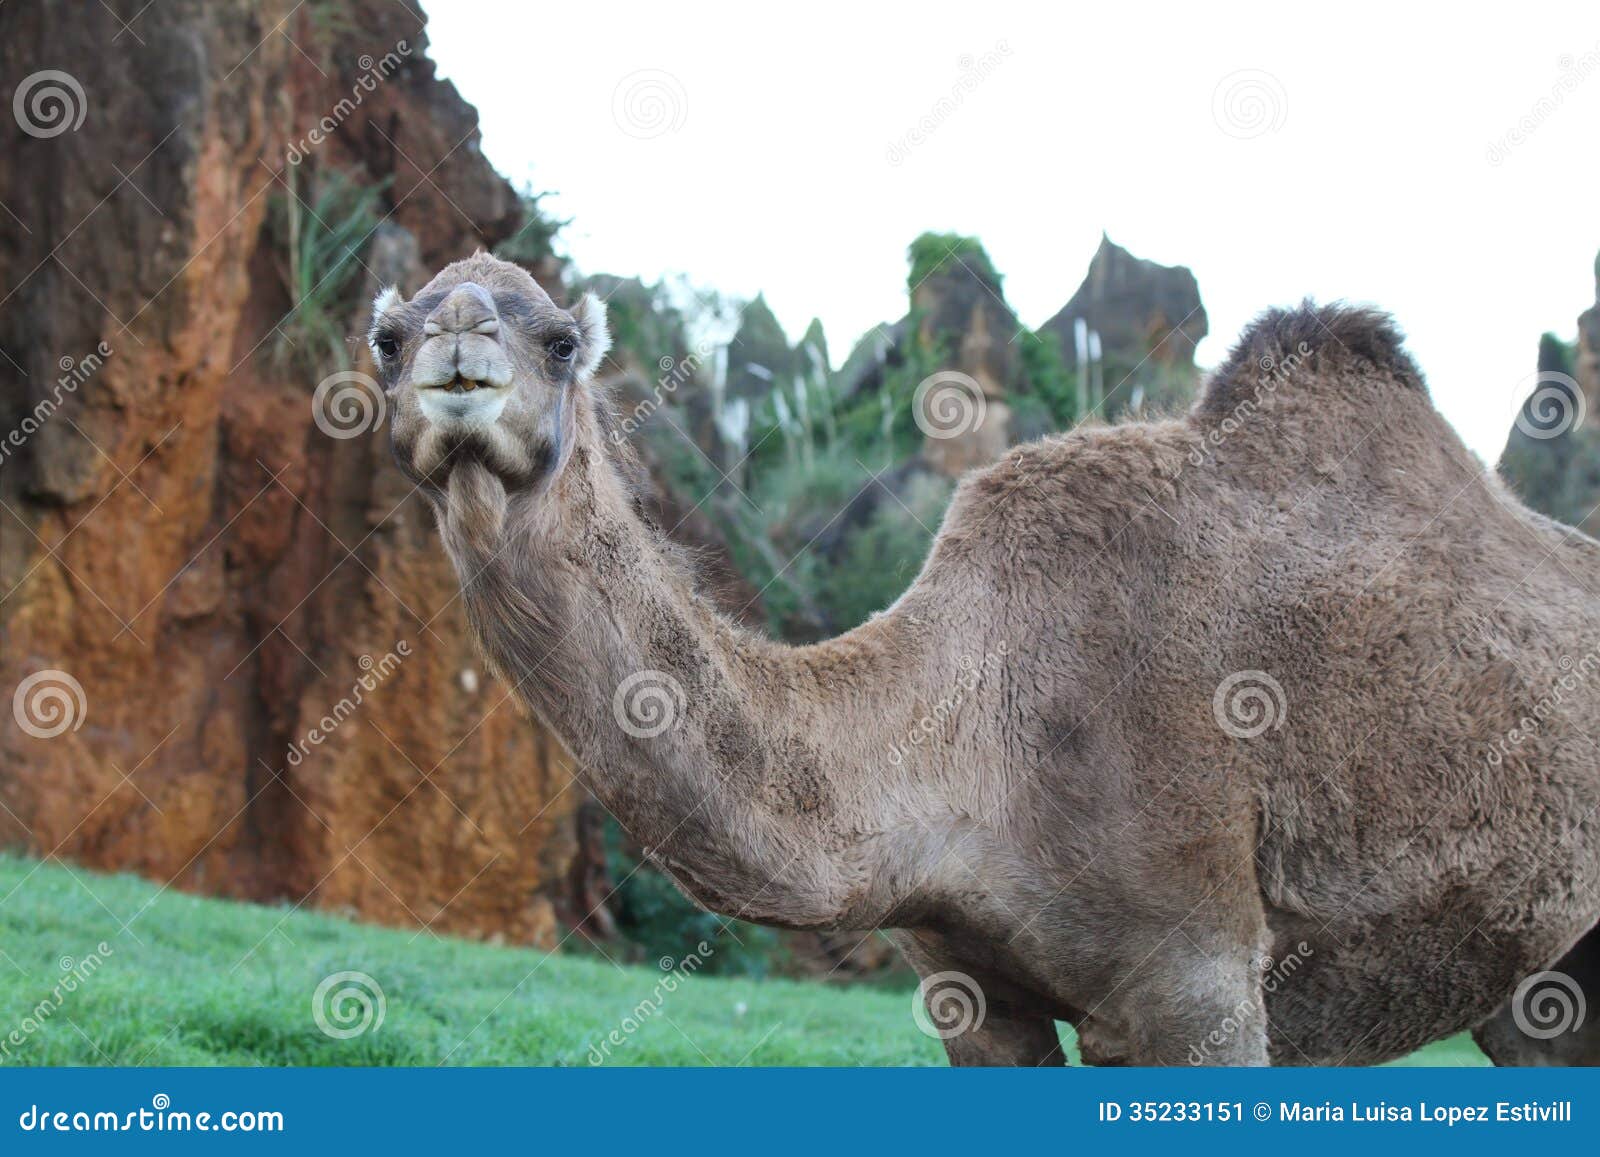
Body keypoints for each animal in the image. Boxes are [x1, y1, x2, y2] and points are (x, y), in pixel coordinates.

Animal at [369, 252, 1600, 1066]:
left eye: (558, 340)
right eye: (387, 338)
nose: (458, 352)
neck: (972, 732)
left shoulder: (1199, 978)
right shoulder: (967, 983)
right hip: (1534, 971)